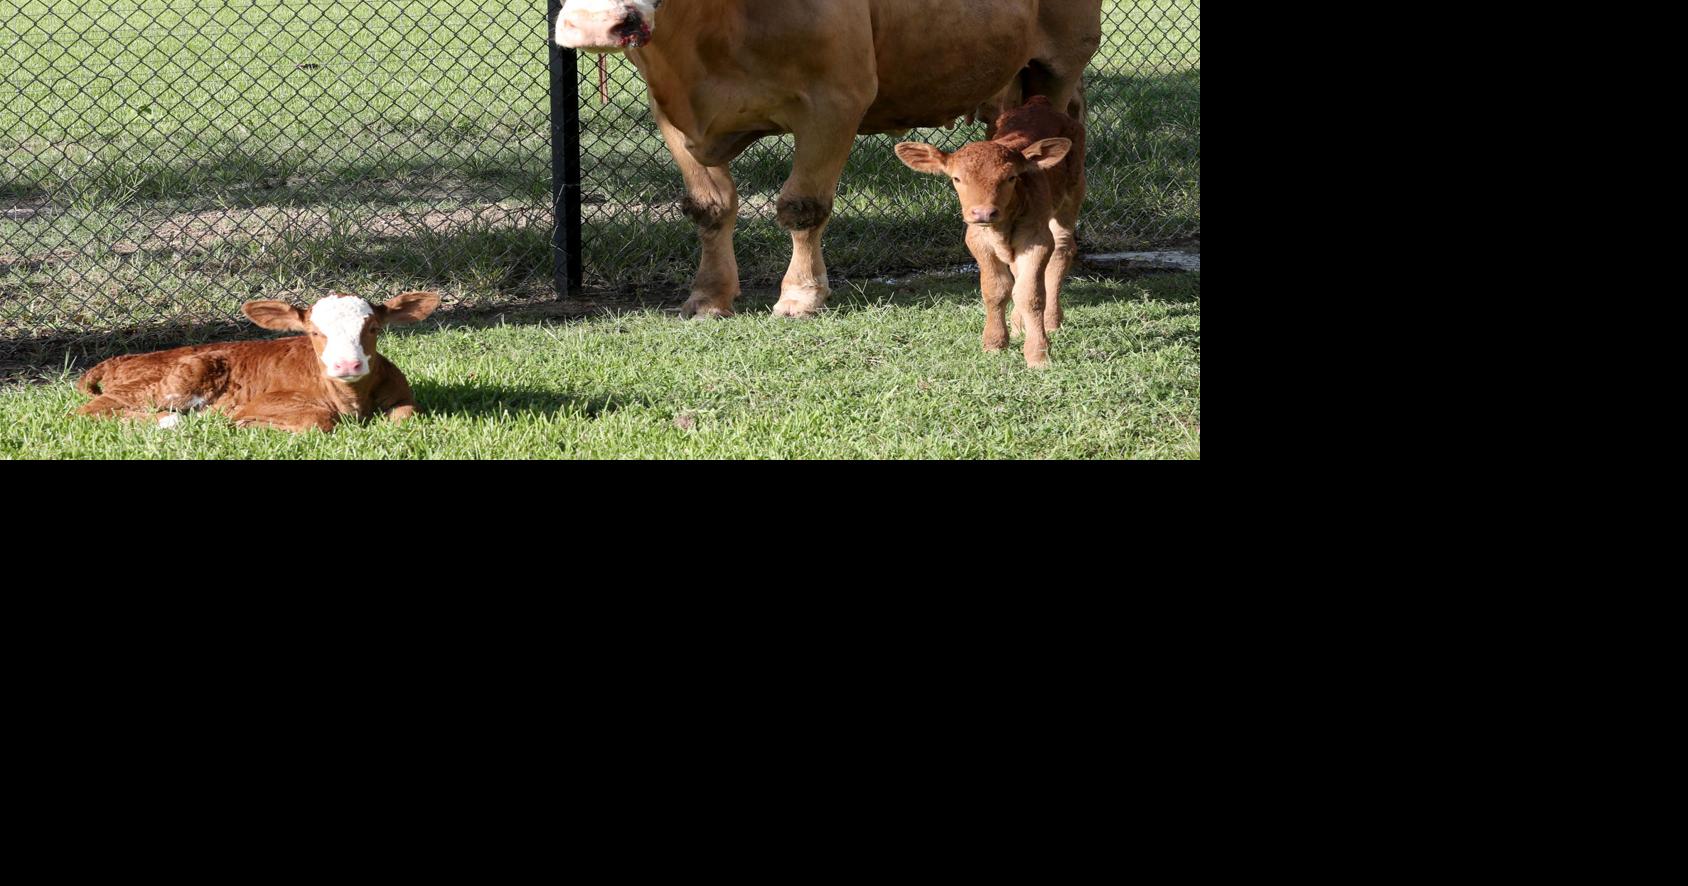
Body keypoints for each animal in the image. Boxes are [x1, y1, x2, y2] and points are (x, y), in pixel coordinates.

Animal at [76, 292, 441, 433]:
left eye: (373, 328)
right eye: (314, 332)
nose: (347, 365)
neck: (353, 403)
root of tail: (118, 359)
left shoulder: (402, 397)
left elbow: (407, 415)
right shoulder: (263, 404)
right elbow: (318, 420)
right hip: (174, 379)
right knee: (88, 411)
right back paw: (171, 420)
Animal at [553, 0, 1101, 319]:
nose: (596, 24)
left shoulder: (834, 101)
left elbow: (802, 207)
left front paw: (801, 295)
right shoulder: (669, 114)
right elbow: (710, 208)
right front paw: (709, 296)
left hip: (1057, 64)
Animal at [896, 96, 1085, 367]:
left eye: (1011, 177)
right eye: (956, 178)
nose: (983, 213)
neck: (1001, 228)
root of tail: (1039, 102)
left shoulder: (1037, 238)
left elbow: (1030, 294)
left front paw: (1038, 354)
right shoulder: (977, 239)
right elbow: (996, 289)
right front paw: (995, 343)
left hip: (1073, 193)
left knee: (1062, 248)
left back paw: (1051, 320)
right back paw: (1018, 325)